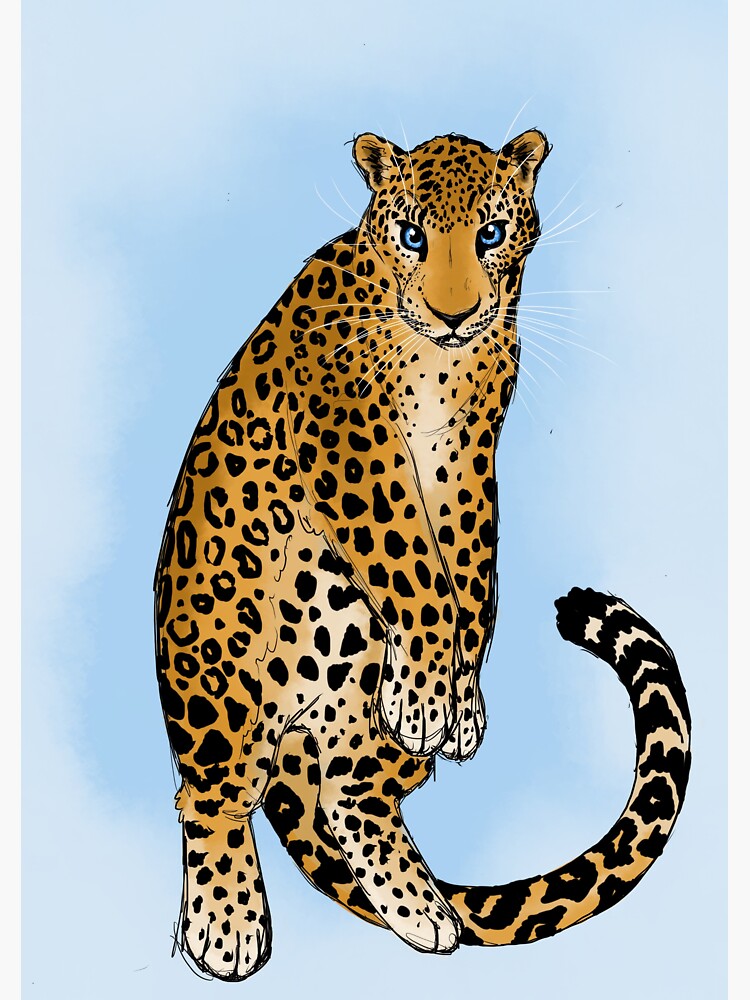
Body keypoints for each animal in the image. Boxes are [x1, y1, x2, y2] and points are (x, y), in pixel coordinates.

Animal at [154, 128, 691, 981]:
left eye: (492, 235)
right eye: (412, 236)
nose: (455, 314)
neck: (440, 362)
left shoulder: (465, 454)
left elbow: (464, 566)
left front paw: (451, 702)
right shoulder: (352, 444)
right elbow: (410, 559)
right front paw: (435, 695)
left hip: (350, 702)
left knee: (353, 794)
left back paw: (422, 904)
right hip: (221, 671)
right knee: (215, 797)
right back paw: (227, 922)